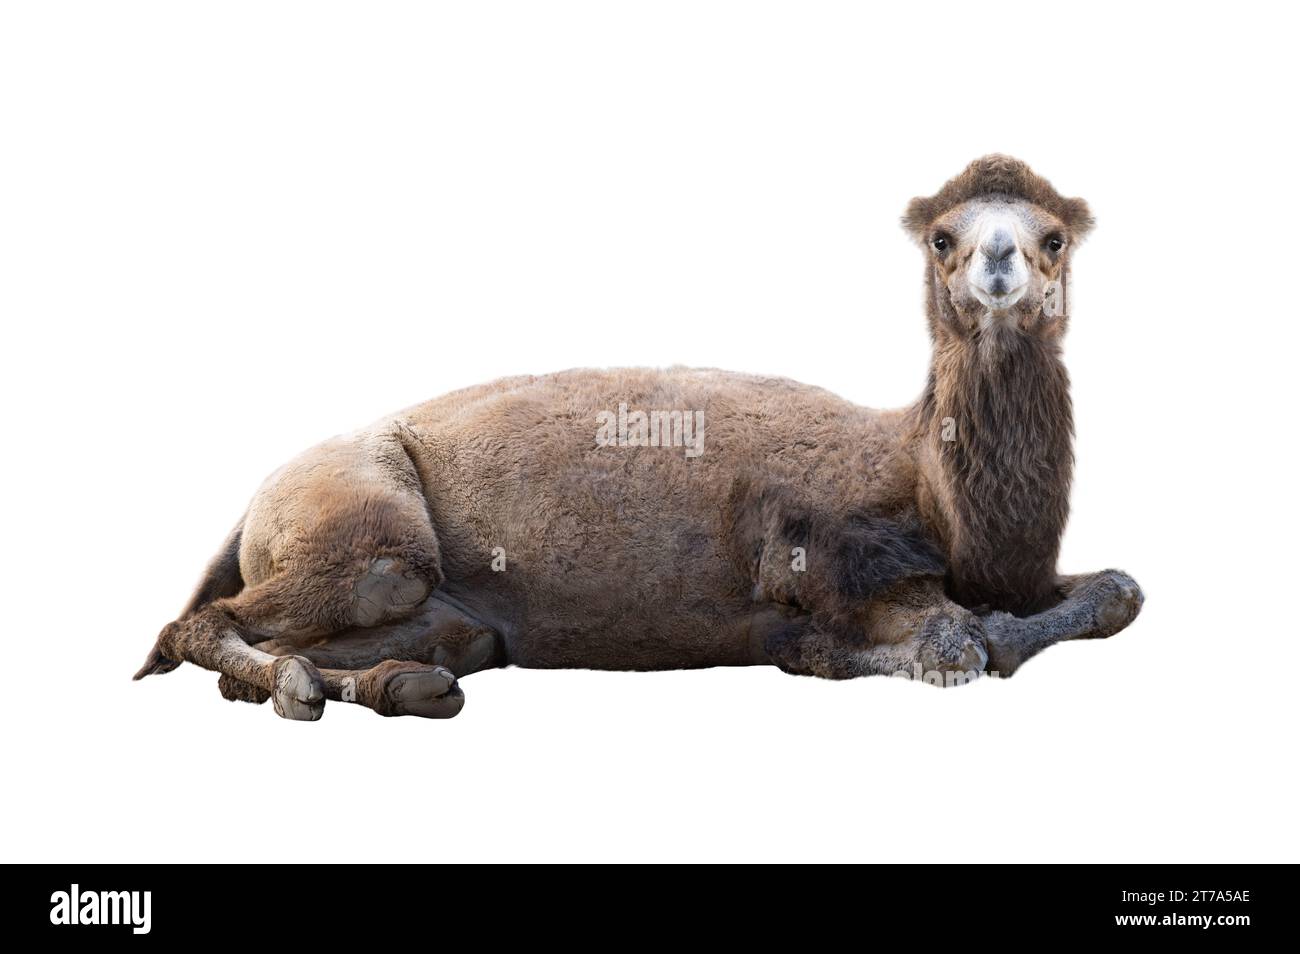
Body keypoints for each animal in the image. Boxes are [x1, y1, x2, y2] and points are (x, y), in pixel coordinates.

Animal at [135, 155, 1143, 720]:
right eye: (941, 237)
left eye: (1055, 236)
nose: (1000, 260)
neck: (920, 475)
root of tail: (251, 504)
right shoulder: (830, 554)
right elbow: (952, 644)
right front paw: (834, 646)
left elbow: (1119, 592)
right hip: (375, 539)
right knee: (203, 623)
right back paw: (305, 689)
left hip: (438, 610)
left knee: (426, 644)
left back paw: (405, 688)